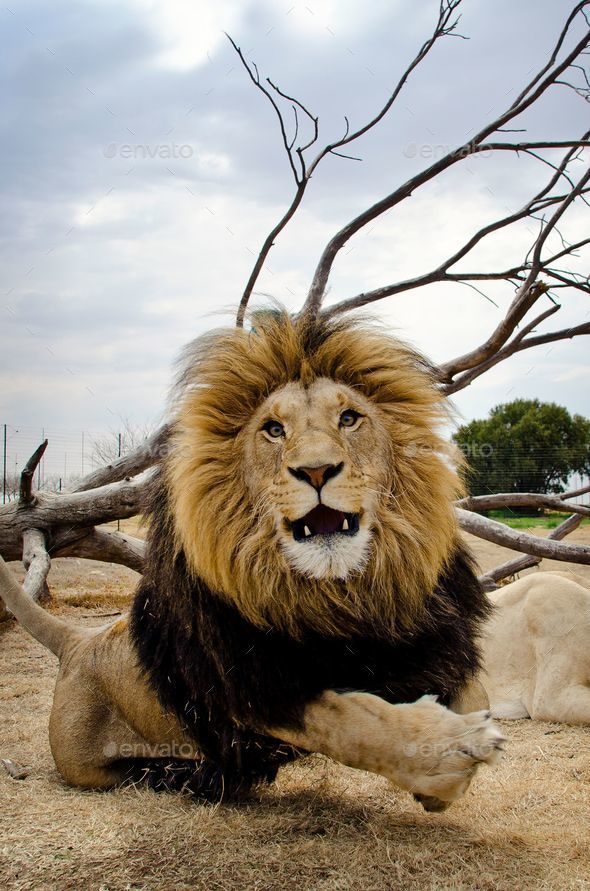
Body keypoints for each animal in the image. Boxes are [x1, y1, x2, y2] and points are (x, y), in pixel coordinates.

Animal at [0, 312, 505, 812]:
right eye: (274, 429)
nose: (316, 470)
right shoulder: (248, 686)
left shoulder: (435, 638)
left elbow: (471, 687)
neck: (343, 596)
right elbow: (349, 721)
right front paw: (447, 752)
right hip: (89, 762)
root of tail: (77, 644)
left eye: (349, 418)